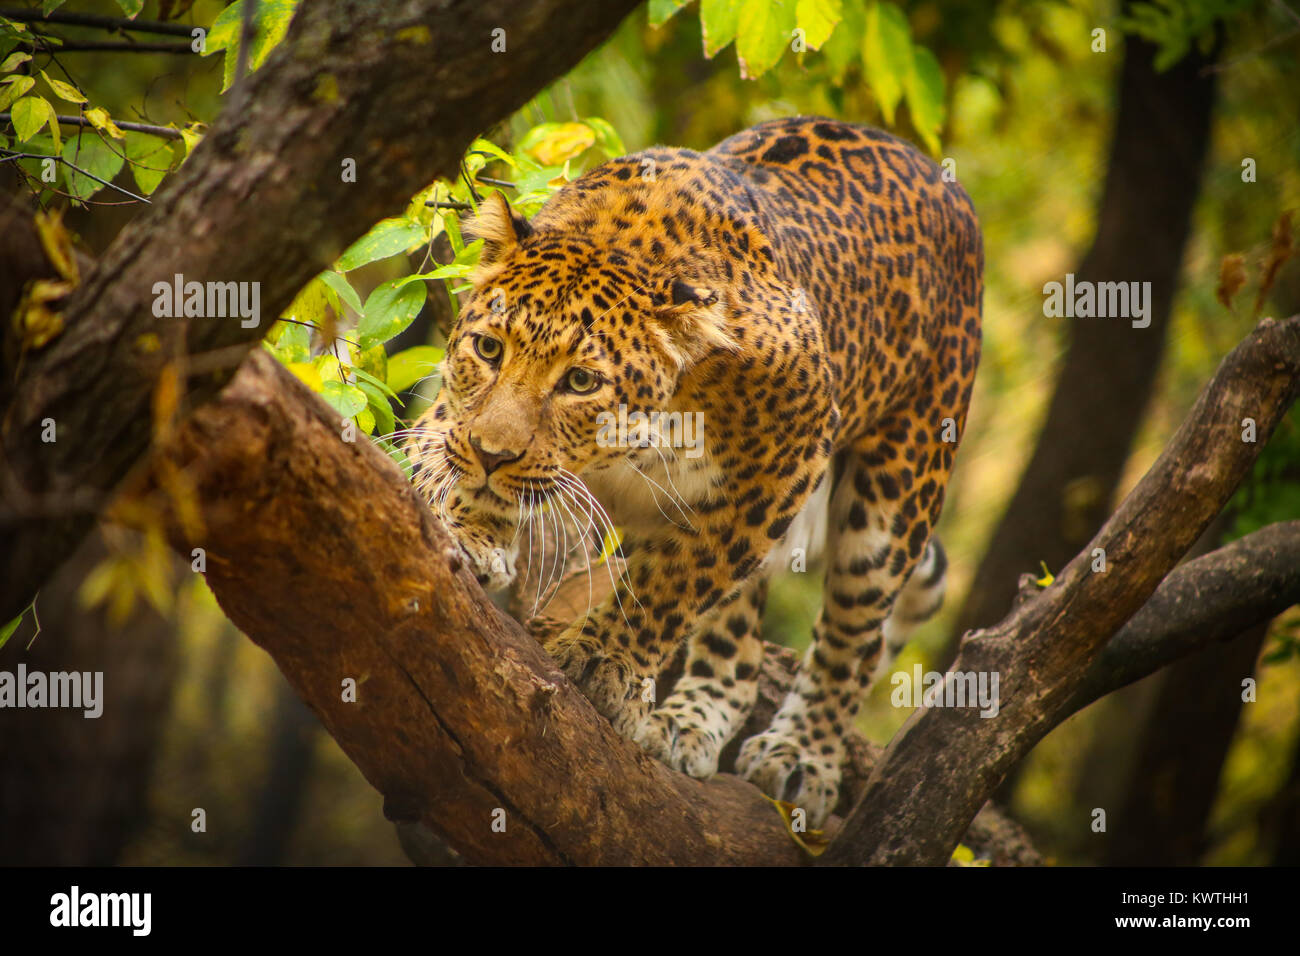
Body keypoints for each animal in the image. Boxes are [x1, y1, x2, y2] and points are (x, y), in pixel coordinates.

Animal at [403, 116, 982, 826]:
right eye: (489, 348)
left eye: (580, 382)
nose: (493, 454)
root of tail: (931, 170)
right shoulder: (451, 415)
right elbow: (442, 457)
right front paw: (468, 533)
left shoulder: (786, 462)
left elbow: (678, 580)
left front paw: (602, 660)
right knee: (740, 644)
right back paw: (690, 721)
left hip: (902, 480)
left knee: (853, 630)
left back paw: (801, 753)